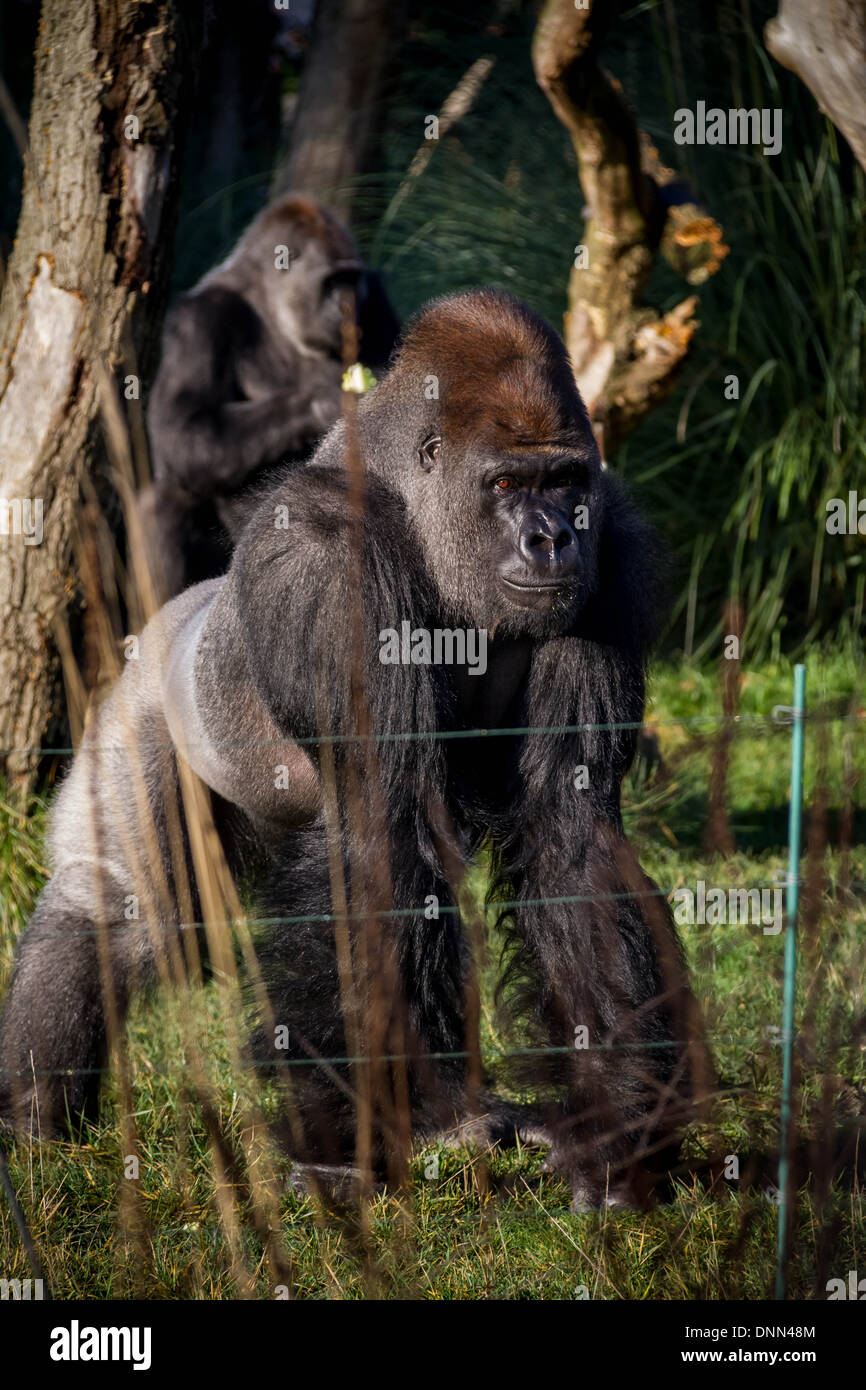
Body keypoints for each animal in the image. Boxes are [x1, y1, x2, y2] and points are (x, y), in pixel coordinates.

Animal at [0, 289, 699, 1209]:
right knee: (120, 907)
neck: (416, 506)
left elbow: (570, 833)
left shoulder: (607, 554)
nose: (551, 539)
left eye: (564, 483)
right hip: (138, 709)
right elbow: (378, 831)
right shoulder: (332, 558)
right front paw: (358, 1143)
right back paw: (33, 1111)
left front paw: (618, 1134)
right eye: (507, 485)